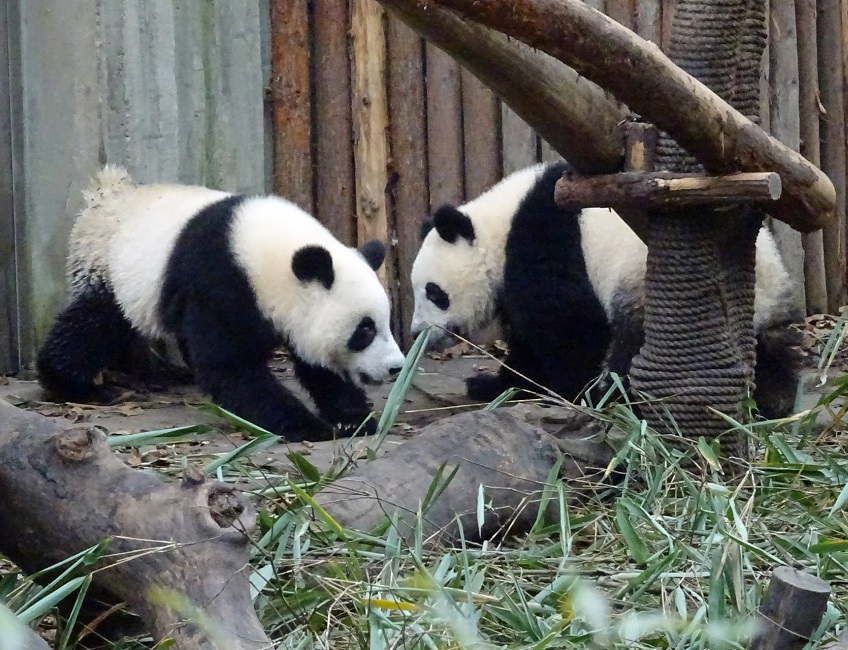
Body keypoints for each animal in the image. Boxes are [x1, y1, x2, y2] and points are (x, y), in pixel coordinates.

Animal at [37, 166, 406, 441]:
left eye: (385, 323)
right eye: (365, 331)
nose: (396, 368)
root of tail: (106, 193)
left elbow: (318, 365)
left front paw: (354, 419)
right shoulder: (220, 279)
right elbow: (230, 367)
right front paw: (309, 427)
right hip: (110, 268)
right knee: (93, 325)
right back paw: (76, 385)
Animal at [410, 162, 801, 419]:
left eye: (434, 293)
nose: (417, 333)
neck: (497, 226)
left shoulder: (544, 239)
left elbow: (568, 326)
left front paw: (565, 394)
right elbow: (526, 340)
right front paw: (496, 385)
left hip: (643, 288)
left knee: (632, 348)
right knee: (775, 346)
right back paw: (775, 400)